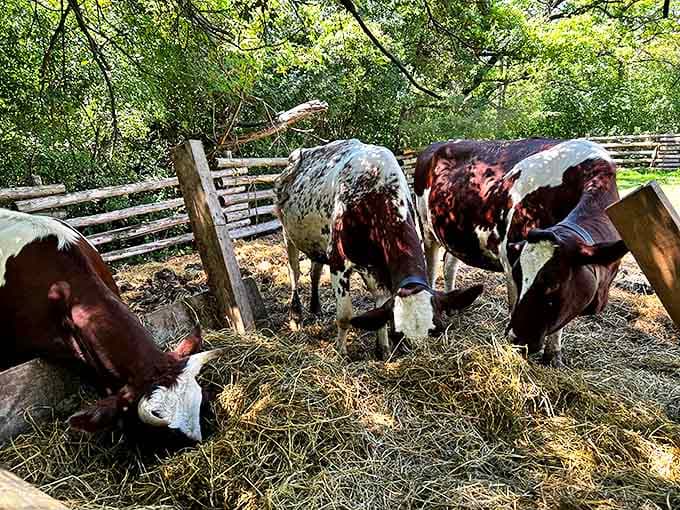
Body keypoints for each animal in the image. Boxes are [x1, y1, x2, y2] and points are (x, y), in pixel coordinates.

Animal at [275, 139, 483, 360]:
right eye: (398, 334)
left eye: (437, 330)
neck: (375, 193)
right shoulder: (339, 262)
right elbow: (345, 315)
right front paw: (341, 351)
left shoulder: (377, 265)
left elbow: (381, 305)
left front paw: (383, 349)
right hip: (288, 234)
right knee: (295, 272)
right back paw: (296, 315)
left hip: (318, 243)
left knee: (314, 270)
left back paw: (315, 307)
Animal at [415, 138, 628, 367]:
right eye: (519, 275)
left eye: (553, 284)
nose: (515, 337)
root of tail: (435, 146)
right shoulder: (509, 258)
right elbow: (513, 302)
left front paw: (553, 355)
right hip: (427, 230)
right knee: (431, 269)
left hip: (455, 232)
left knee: (449, 265)